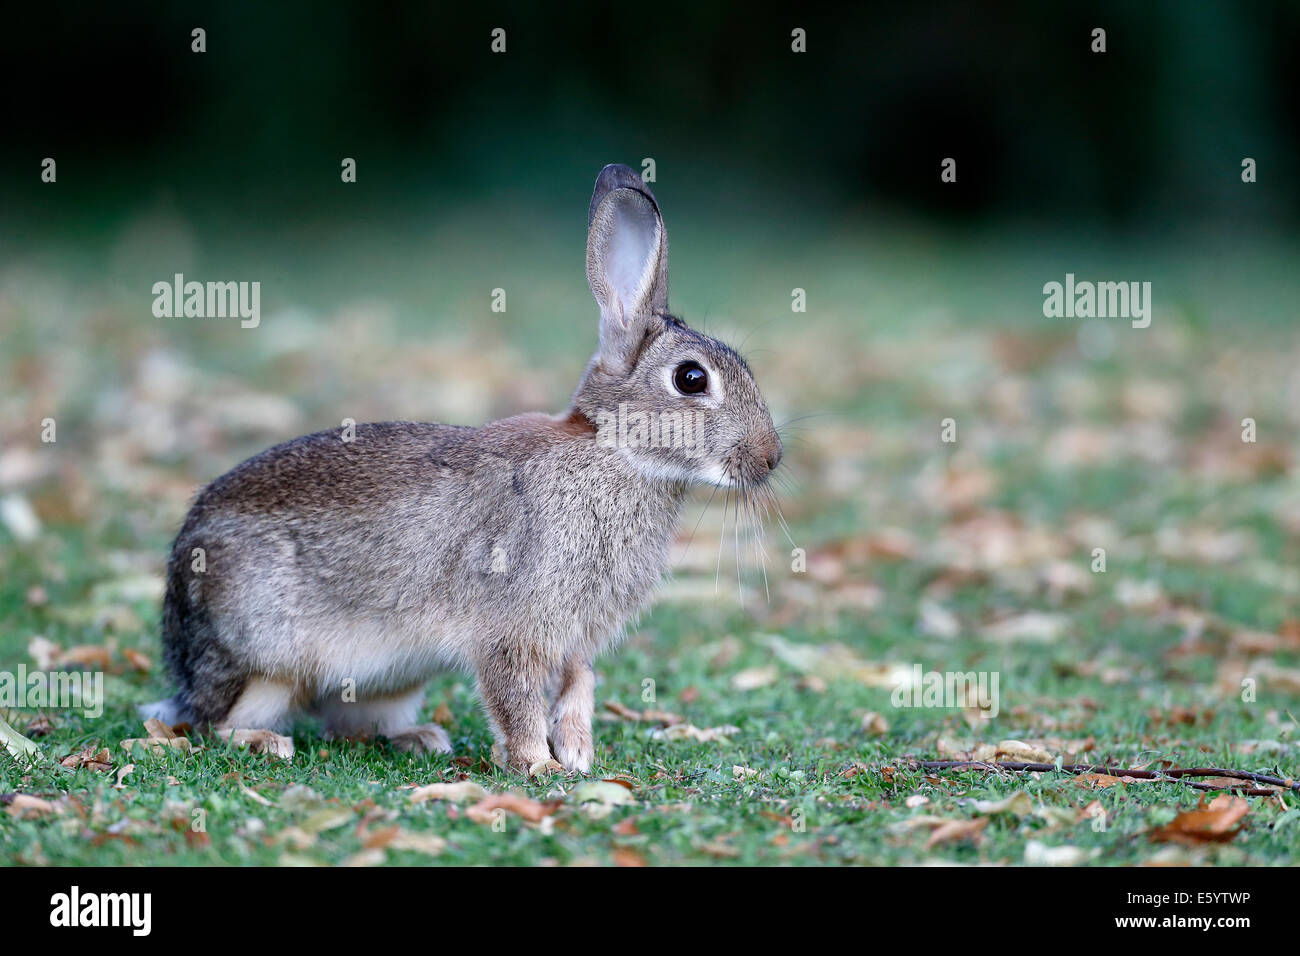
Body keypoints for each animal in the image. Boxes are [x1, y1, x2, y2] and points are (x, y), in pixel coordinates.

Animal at [142, 163, 783, 773]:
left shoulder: (574, 639)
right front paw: (538, 764)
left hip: (393, 680)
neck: (614, 451)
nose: (771, 457)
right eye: (691, 379)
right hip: (266, 660)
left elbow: (579, 682)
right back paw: (267, 741)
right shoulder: (511, 627)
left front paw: (577, 752)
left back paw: (422, 738)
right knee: (220, 724)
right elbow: (515, 696)